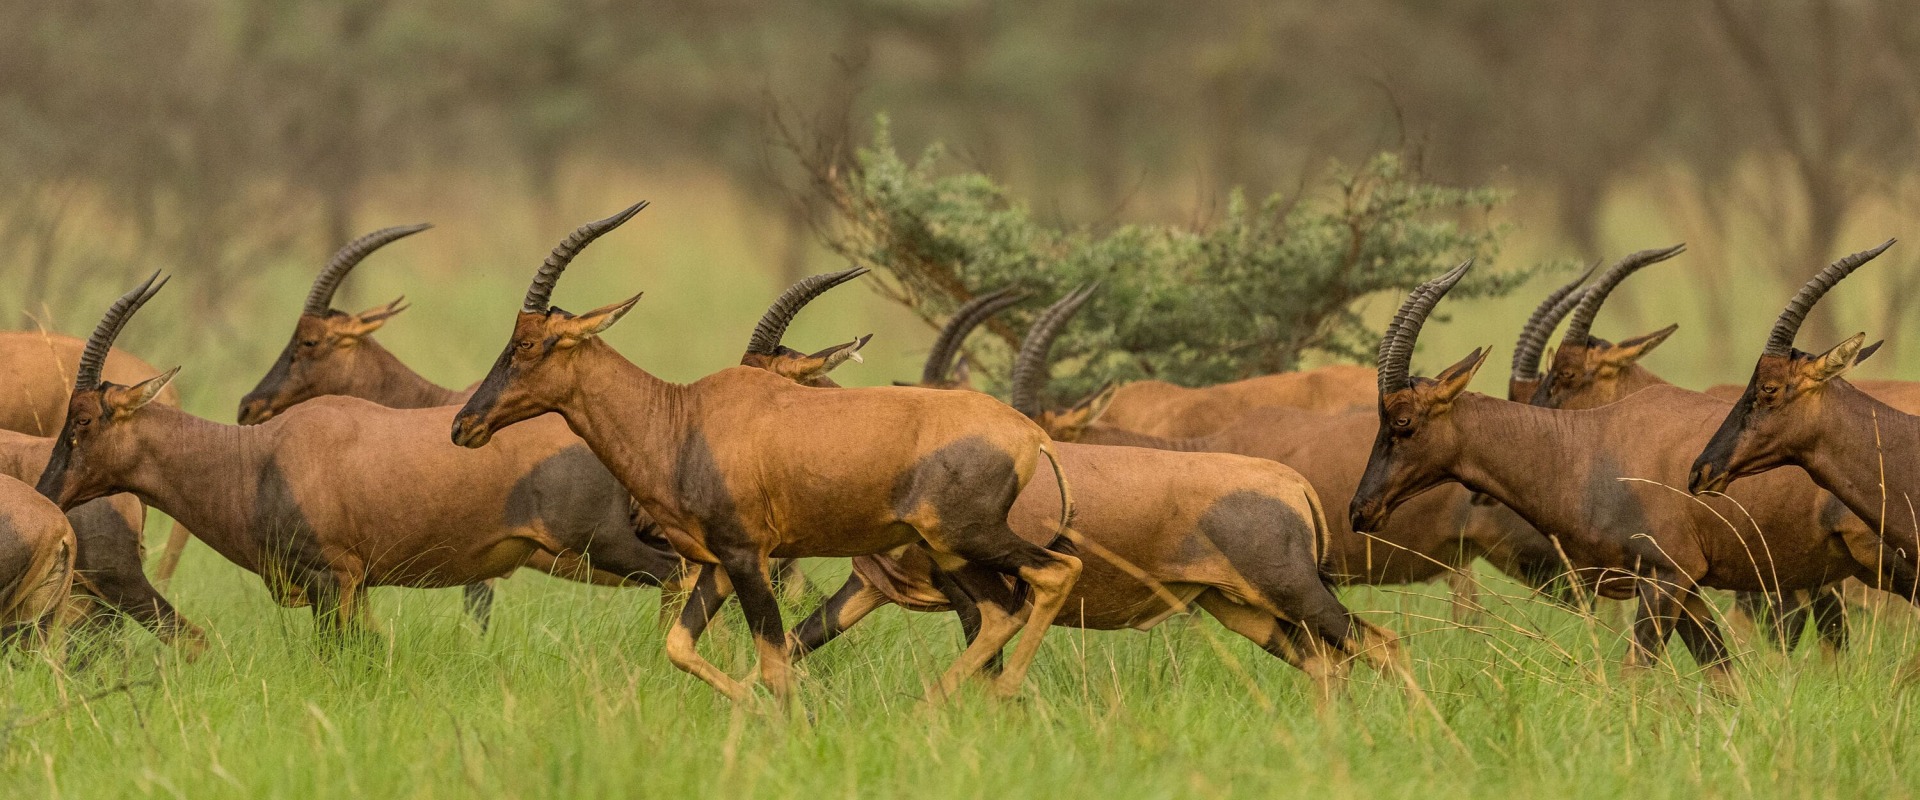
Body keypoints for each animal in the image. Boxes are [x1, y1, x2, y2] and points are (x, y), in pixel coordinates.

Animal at [37, 274, 687, 645]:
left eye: (84, 420)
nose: (45, 495)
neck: (257, 457)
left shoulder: (328, 582)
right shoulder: (357, 586)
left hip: (607, 545)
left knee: (681, 577)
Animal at [449, 203, 1085, 705]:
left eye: (528, 342)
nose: (464, 426)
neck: (682, 419)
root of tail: (1031, 433)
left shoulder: (746, 557)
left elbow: (774, 661)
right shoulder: (718, 564)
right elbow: (682, 647)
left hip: (970, 536)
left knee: (1055, 574)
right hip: (950, 551)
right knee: (1000, 612)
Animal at [787, 289, 1416, 703]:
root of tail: (1289, 482)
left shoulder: (978, 596)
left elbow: (987, 667)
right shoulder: (870, 586)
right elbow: (795, 642)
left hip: (1293, 592)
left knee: (1381, 645)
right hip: (1241, 608)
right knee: (1328, 663)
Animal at [1348, 259, 1868, 680]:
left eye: (1402, 420)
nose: (1359, 510)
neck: (1592, 443)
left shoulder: (1666, 579)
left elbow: (1635, 673)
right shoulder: (1686, 588)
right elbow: (1723, 677)